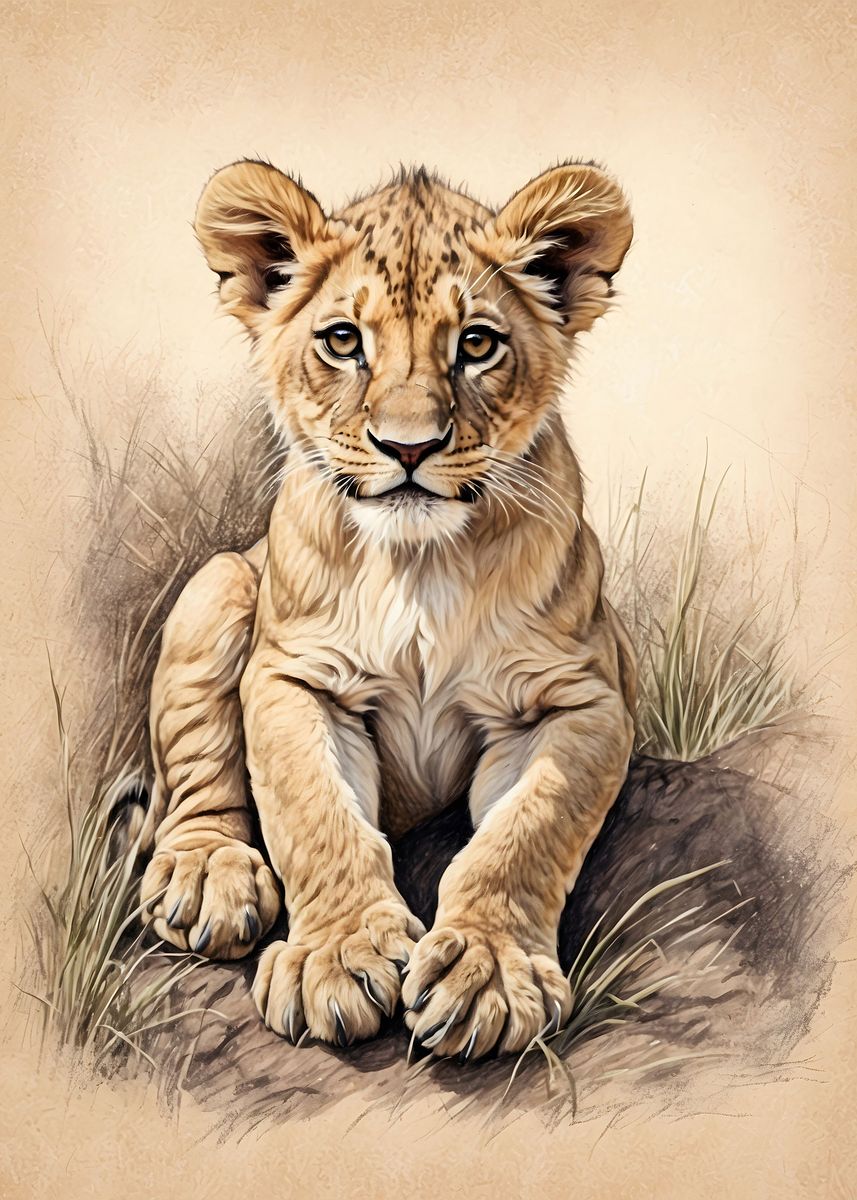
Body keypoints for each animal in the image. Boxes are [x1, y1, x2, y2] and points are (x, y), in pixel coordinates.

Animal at [138, 159, 637, 1060]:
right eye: (343, 341)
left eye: (475, 344)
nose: (408, 447)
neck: (418, 563)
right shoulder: (296, 678)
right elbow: (315, 814)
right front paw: (336, 959)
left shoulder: (581, 698)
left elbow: (524, 835)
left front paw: (488, 972)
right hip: (219, 583)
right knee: (197, 782)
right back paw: (203, 875)